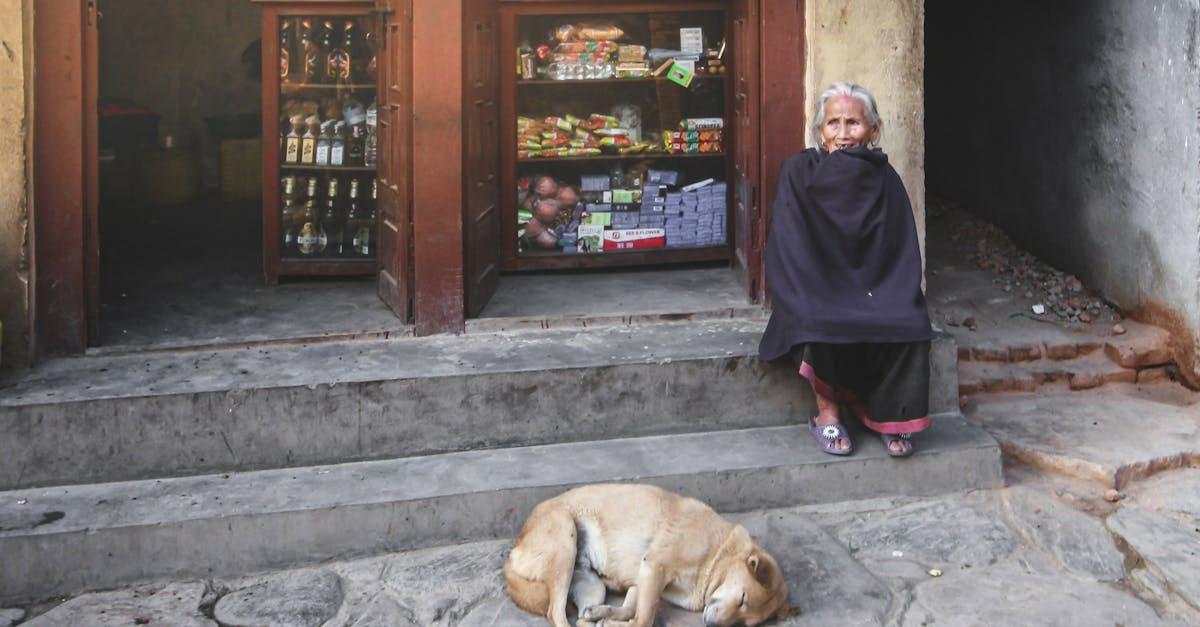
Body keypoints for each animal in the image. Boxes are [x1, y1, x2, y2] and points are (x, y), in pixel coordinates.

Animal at [504, 480, 792, 619]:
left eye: (745, 623)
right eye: (742, 599)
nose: (711, 623)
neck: (719, 554)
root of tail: (516, 547)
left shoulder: (642, 580)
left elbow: (632, 608)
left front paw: (608, 615)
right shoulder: (655, 568)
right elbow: (643, 617)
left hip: (591, 585)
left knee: (580, 617)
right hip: (565, 542)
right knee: (555, 613)